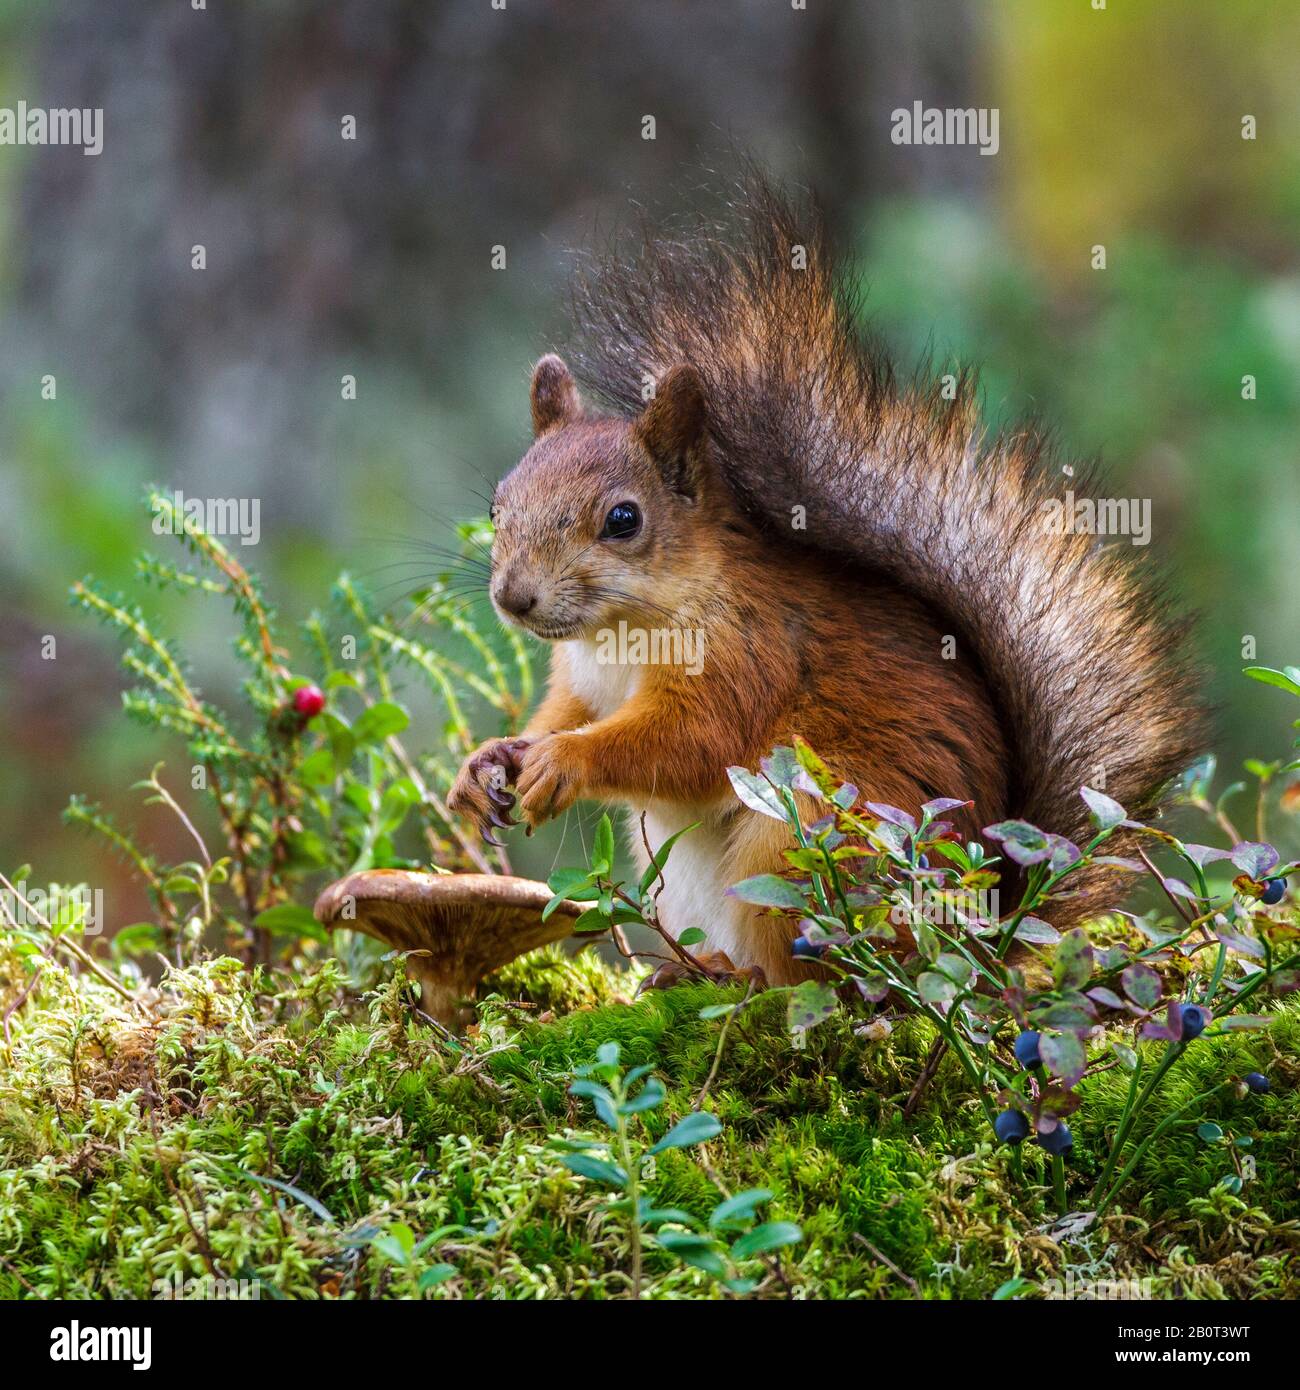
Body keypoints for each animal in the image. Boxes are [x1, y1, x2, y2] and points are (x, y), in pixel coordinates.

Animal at [447, 173, 1206, 985]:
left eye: (623, 519)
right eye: (497, 503)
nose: (513, 599)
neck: (620, 630)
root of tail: (984, 937)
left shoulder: (750, 654)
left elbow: (690, 742)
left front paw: (567, 760)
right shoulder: (582, 681)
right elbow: (562, 713)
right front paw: (489, 761)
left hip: (808, 841)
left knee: (827, 979)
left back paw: (739, 977)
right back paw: (698, 964)